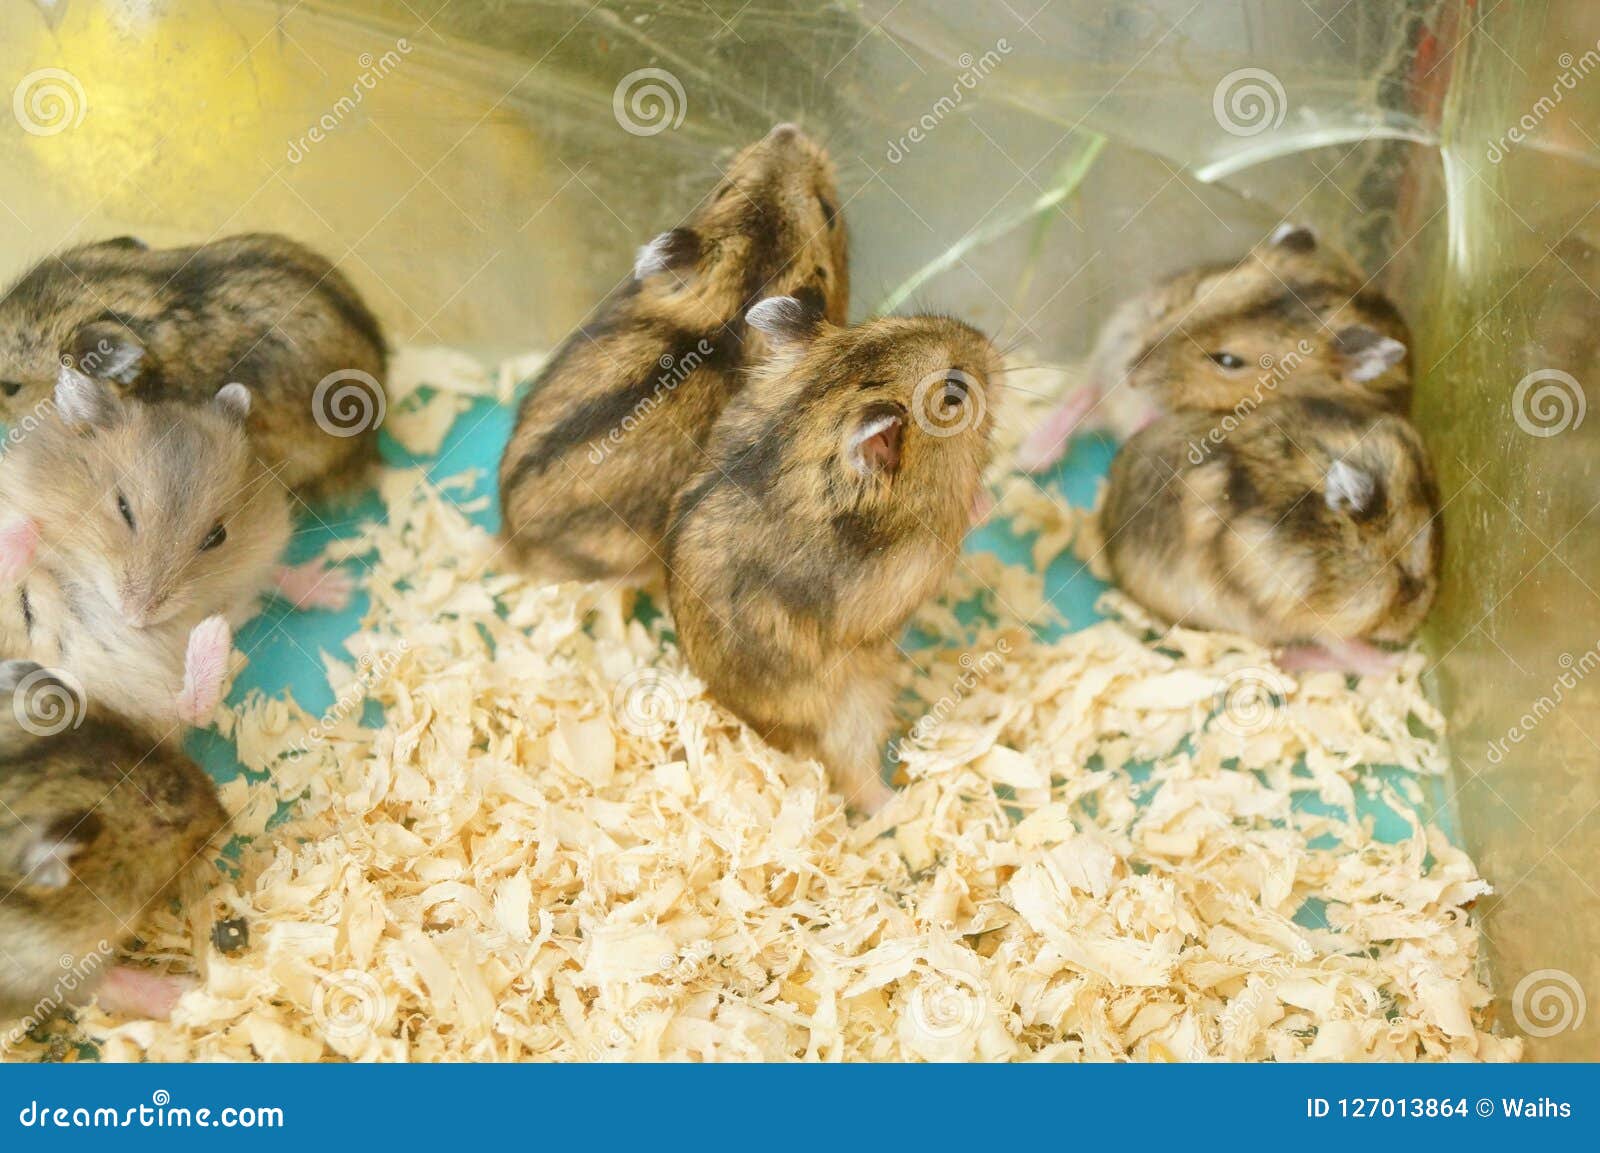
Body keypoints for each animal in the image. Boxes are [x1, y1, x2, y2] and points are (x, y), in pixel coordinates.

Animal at [0, 371, 342, 730]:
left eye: (217, 536)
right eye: (123, 508)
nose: (135, 618)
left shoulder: (257, 557)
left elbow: (271, 574)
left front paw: (340, 589)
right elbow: (21, 523)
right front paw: (18, 549)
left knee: (192, 709)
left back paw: (213, 636)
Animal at [665, 296, 1000, 812]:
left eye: (896, 321)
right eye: (953, 394)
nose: (993, 349)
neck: (812, 424)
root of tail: (766, 734)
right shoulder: (907, 571)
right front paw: (985, 501)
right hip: (851, 710)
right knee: (854, 777)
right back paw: (900, 805)